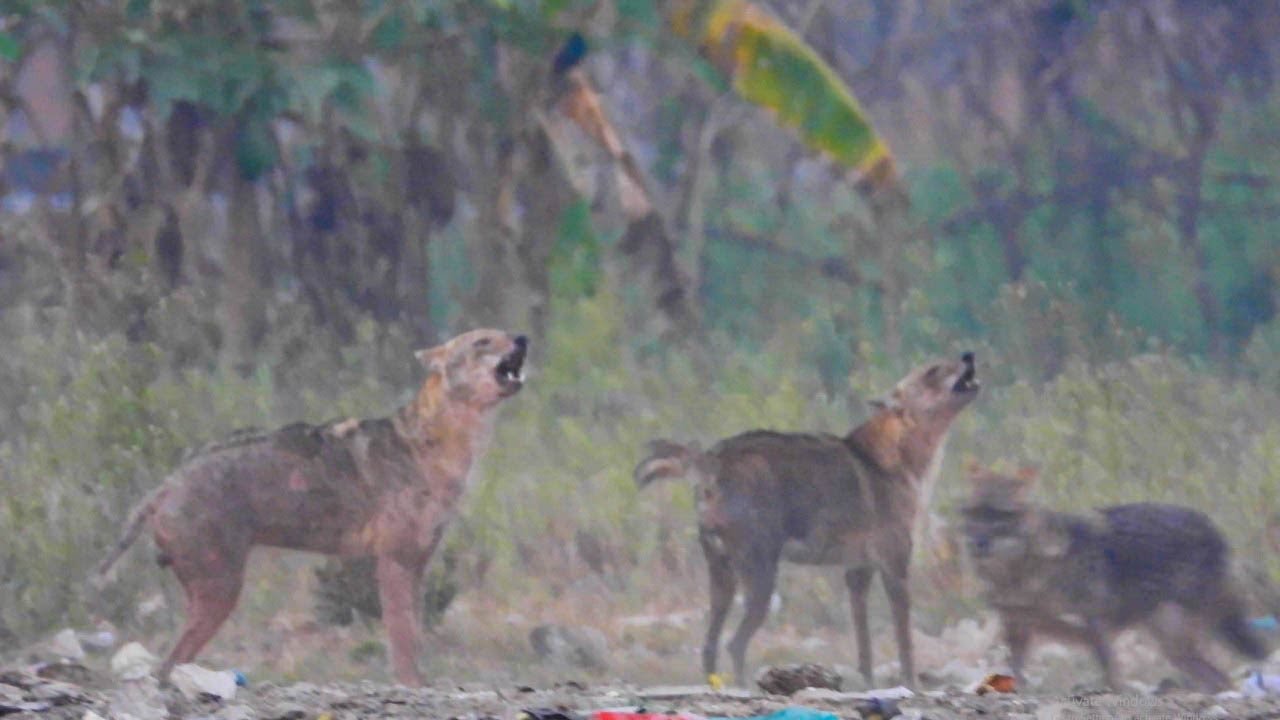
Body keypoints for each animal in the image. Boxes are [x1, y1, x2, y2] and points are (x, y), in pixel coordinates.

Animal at [92, 329, 528, 686]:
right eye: (483, 341)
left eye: (503, 332)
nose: (523, 338)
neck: (442, 447)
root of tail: (164, 486)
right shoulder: (394, 562)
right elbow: (403, 637)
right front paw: (411, 686)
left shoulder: (418, 562)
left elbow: (415, 635)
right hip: (222, 592)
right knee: (164, 666)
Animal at [635, 352, 980, 687]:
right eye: (933, 371)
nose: (969, 355)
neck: (898, 458)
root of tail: (713, 458)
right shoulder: (894, 566)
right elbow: (905, 643)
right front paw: (911, 686)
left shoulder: (858, 572)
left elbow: (864, 644)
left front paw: (868, 683)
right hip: (760, 579)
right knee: (734, 644)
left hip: (722, 579)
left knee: (709, 648)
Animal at [961, 465, 1269, 692]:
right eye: (974, 513)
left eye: (1000, 515)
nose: (979, 543)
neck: (1021, 574)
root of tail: (1212, 527)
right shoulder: (1017, 628)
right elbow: (1018, 673)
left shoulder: (1095, 625)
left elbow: (1111, 675)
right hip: (1176, 649)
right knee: (1220, 680)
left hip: (1178, 640)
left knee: (1224, 679)